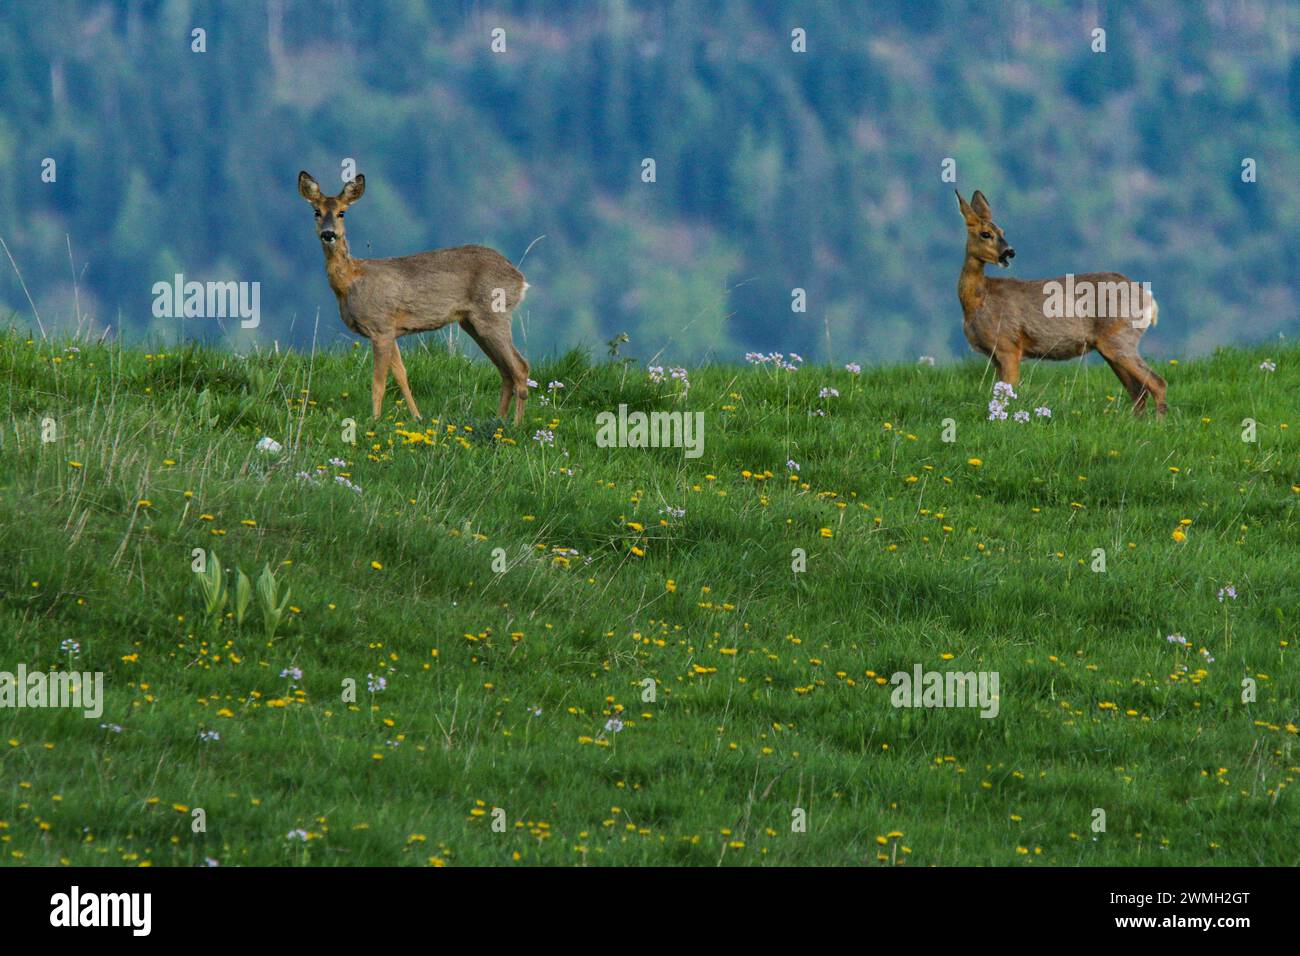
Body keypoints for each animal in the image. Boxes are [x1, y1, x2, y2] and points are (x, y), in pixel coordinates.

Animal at [297, 170, 531, 425]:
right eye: (316, 212)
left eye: (342, 212)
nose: (328, 234)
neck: (350, 281)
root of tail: (519, 279)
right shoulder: (391, 330)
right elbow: (401, 374)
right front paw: (417, 416)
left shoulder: (381, 326)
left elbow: (378, 382)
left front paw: (375, 420)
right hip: (471, 323)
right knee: (505, 370)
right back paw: (499, 421)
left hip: (494, 314)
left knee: (521, 367)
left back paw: (515, 426)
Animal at [955, 189, 1166, 417]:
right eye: (986, 233)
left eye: (1002, 231)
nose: (1009, 252)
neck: (978, 301)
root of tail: (1149, 300)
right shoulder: (996, 356)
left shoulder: (1008, 345)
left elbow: (1009, 393)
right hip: (1112, 346)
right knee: (1138, 391)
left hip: (1120, 338)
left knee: (1157, 383)